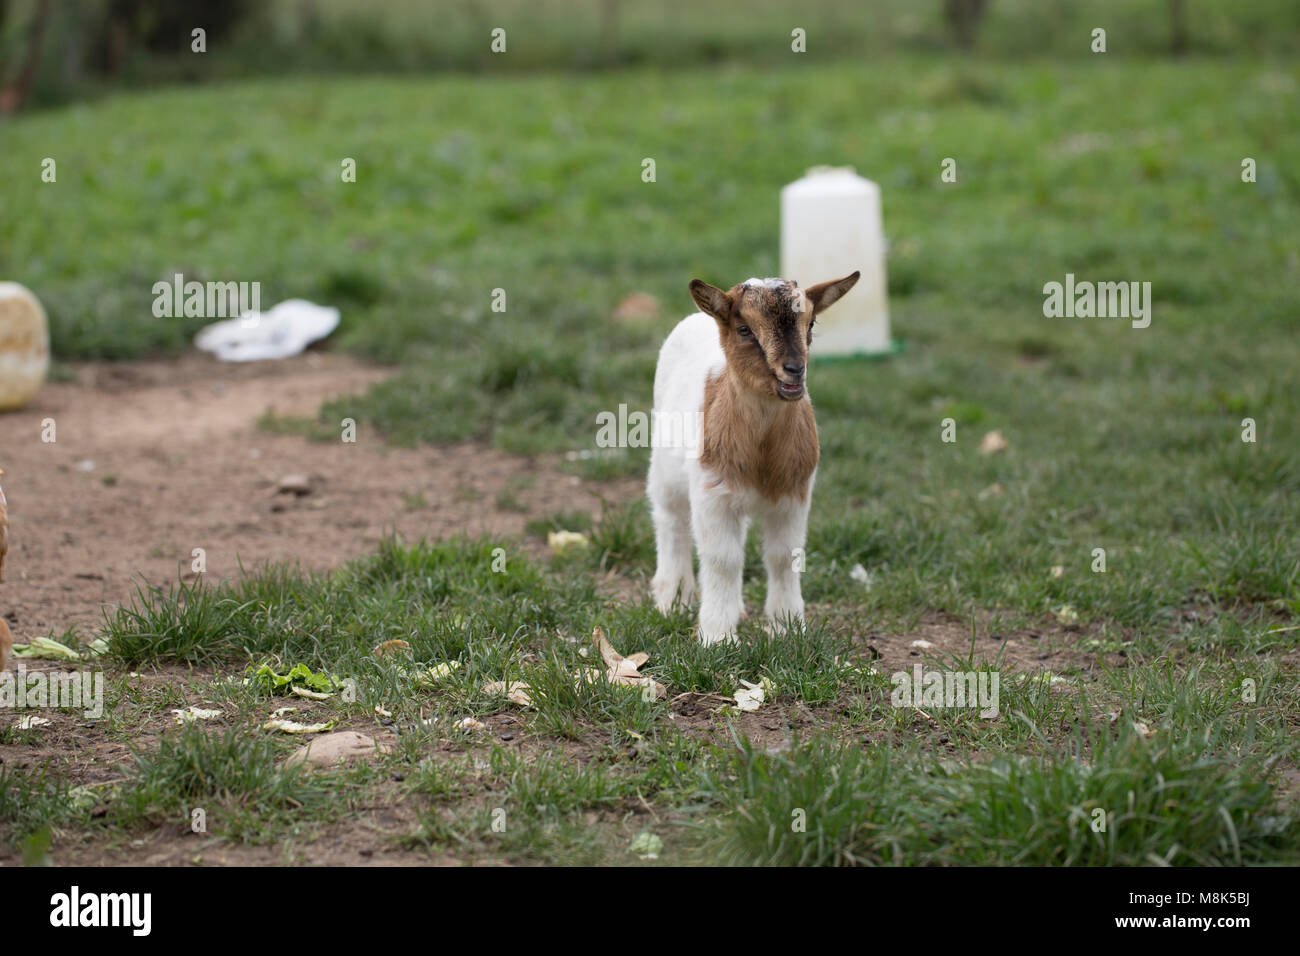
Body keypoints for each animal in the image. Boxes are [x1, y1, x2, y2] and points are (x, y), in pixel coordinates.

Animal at [647, 271, 859, 644]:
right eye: (744, 328)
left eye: (811, 322)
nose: (794, 370)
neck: (761, 451)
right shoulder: (712, 494)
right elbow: (723, 559)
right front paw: (717, 636)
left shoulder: (794, 495)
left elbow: (783, 556)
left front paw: (787, 627)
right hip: (664, 472)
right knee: (671, 522)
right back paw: (673, 598)